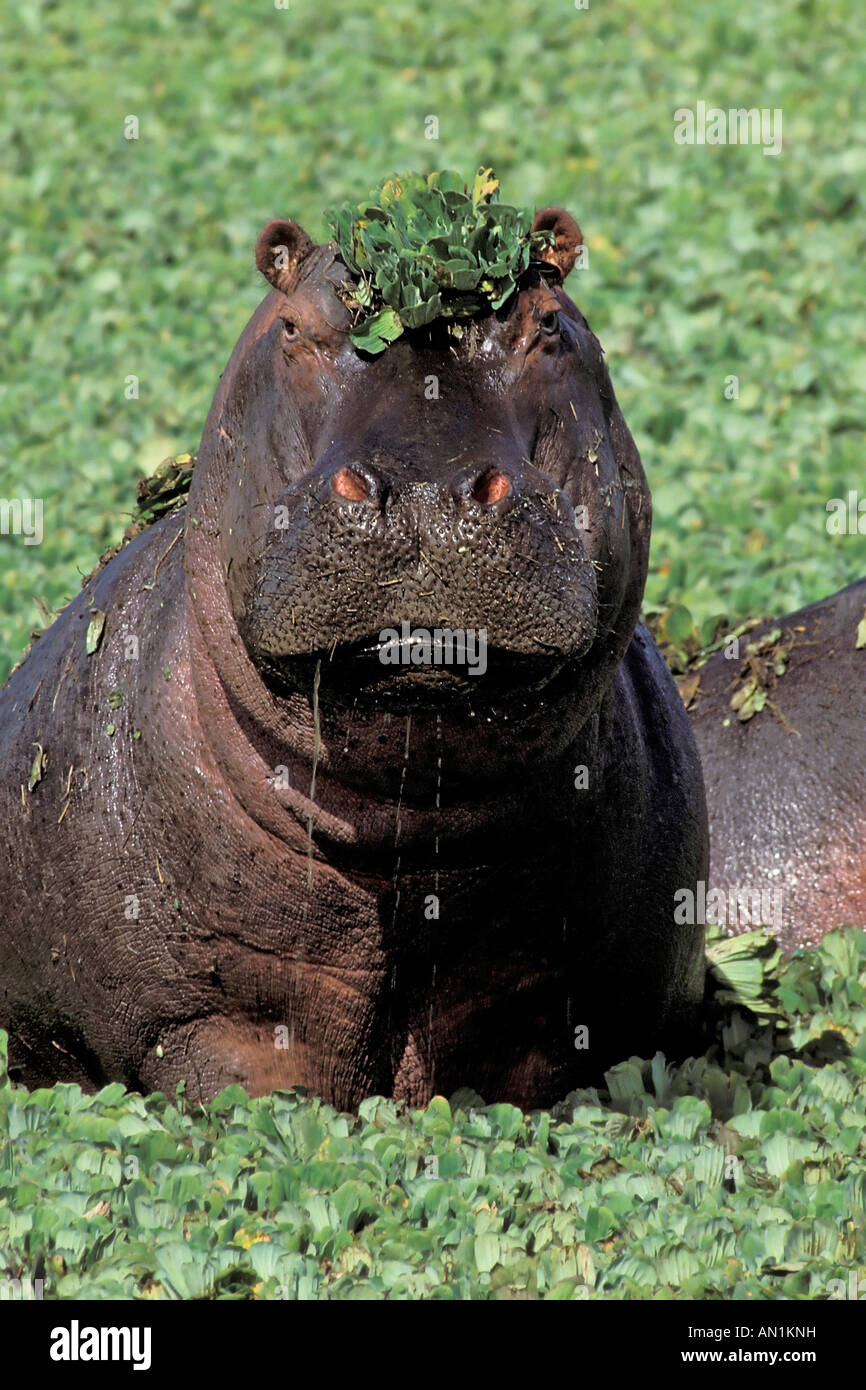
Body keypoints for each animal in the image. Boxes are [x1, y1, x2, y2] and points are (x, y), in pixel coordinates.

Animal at [0, 197, 708, 1110]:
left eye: (548, 325)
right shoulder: (199, 1024)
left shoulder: (564, 1028)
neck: (405, 835)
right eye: (295, 328)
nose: (428, 491)